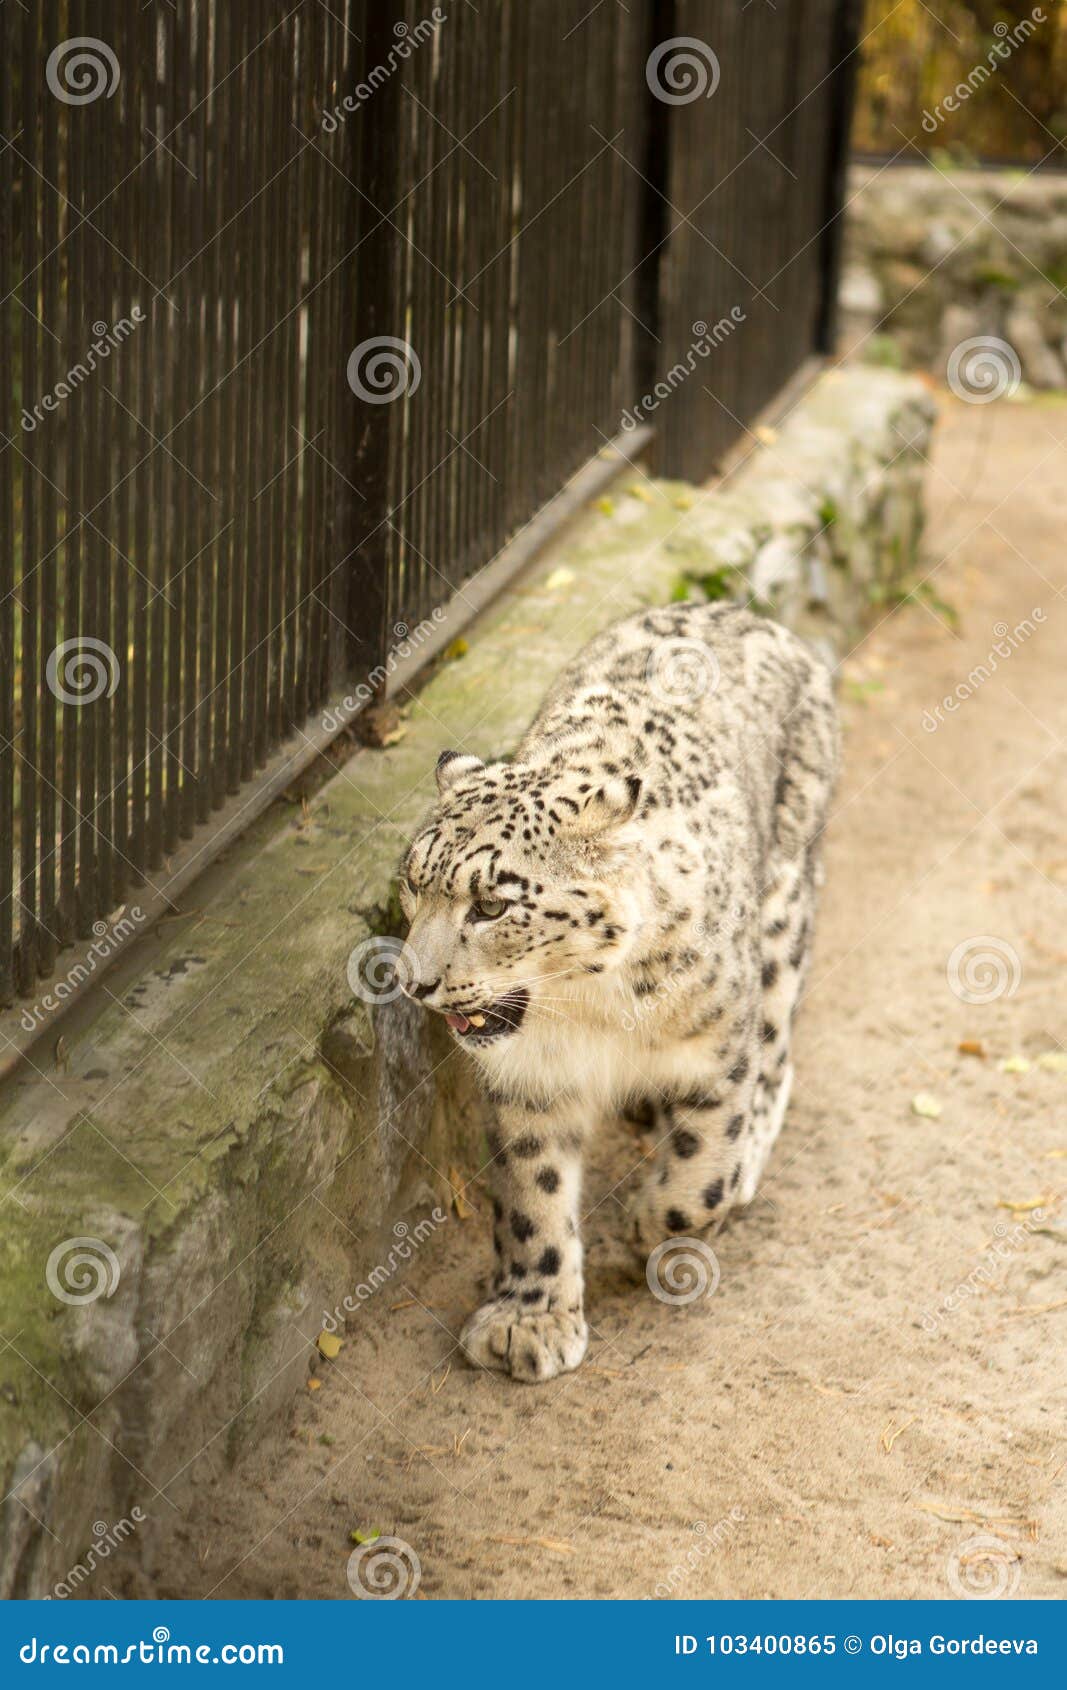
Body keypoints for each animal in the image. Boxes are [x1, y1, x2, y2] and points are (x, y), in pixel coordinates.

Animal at [398, 600, 839, 1383]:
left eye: (491, 905)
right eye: (411, 883)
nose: (414, 981)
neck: (588, 1010)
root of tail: (752, 613)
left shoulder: (712, 1052)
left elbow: (699, 1173)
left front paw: (652, 1223)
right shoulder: (529, 1083)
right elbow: (531, 1196)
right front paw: (530, 1320)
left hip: (783, 912)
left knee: (776, 1048)